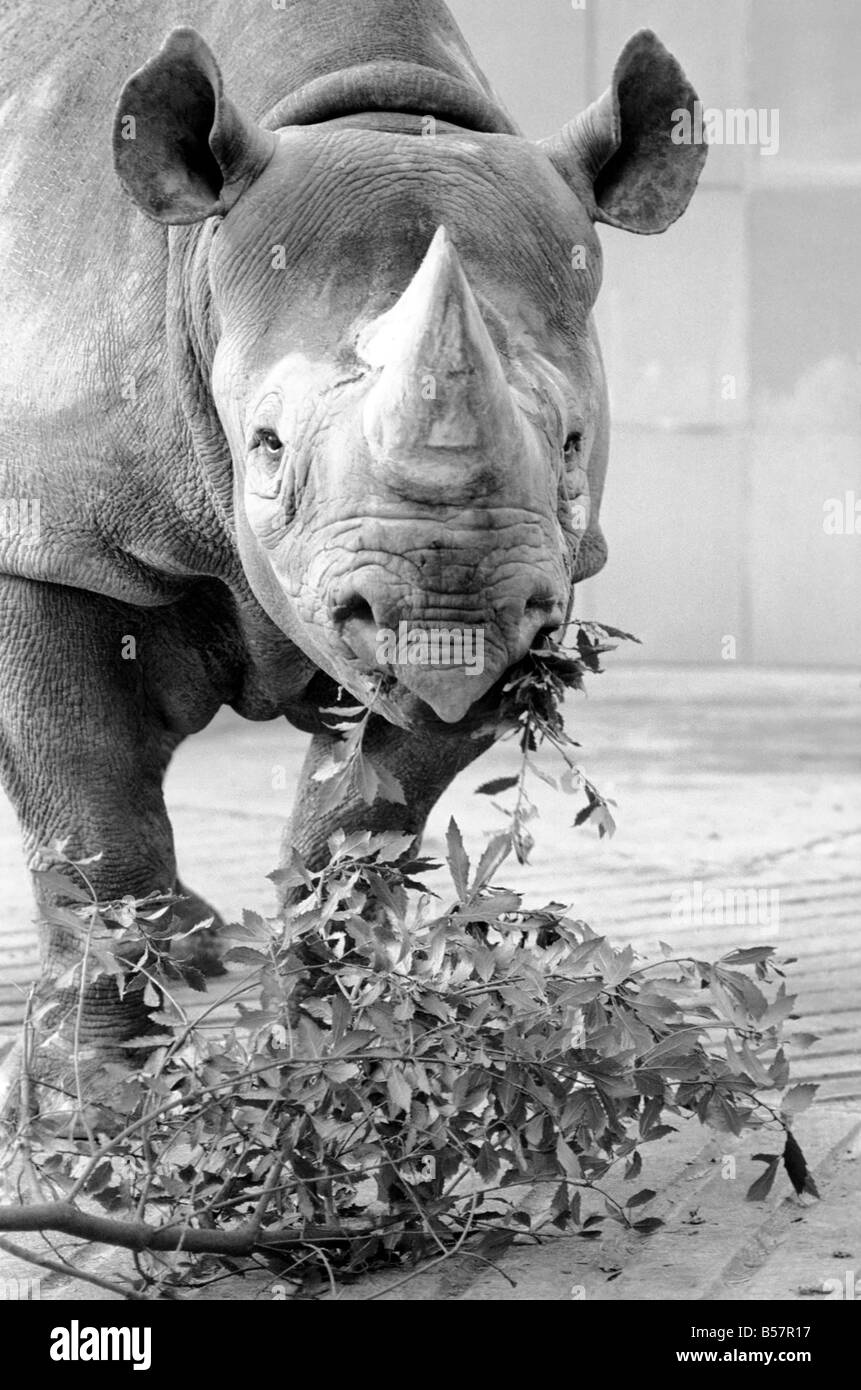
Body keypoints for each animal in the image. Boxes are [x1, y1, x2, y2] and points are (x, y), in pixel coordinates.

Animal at [0, 0, 705, 1092]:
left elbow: (358, 831)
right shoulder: (55, 531)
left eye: (573, 444)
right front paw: (91, 1098)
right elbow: (91, 813)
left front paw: (338, 1059)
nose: (447, 631)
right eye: (267, 444)